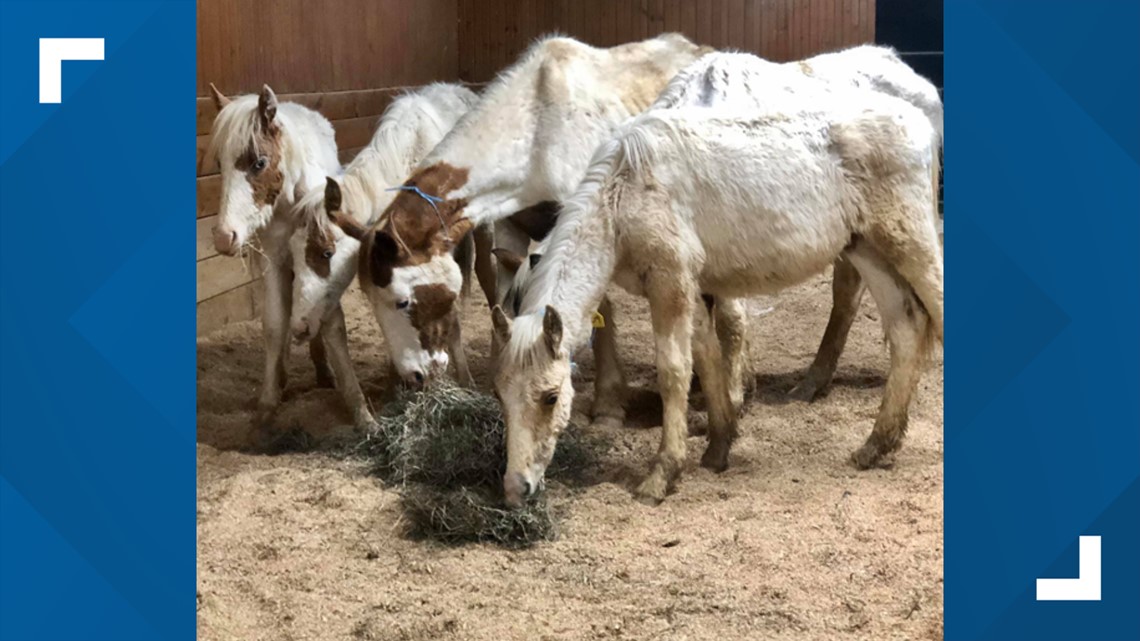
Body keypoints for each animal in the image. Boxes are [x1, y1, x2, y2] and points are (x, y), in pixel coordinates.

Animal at [326, 33, 710, 417]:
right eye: (370, 300)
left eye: (402, 301)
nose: (416, 375)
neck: (540, 134)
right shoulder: (510, 232)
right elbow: (504, 298)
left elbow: (600, 308)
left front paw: (608, 401)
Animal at [491, 79, 942, 507]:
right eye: (500, 394)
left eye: (550, 397)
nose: (516, 489)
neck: (625, 190)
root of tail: (917, 120)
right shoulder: (694, 288)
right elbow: (707, 357)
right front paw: (718, 449)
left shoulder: (670, 282)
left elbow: (675, 371)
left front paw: (662, 476)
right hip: (869, 251)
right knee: (906, 329)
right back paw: (875, 446)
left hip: (910, 246)